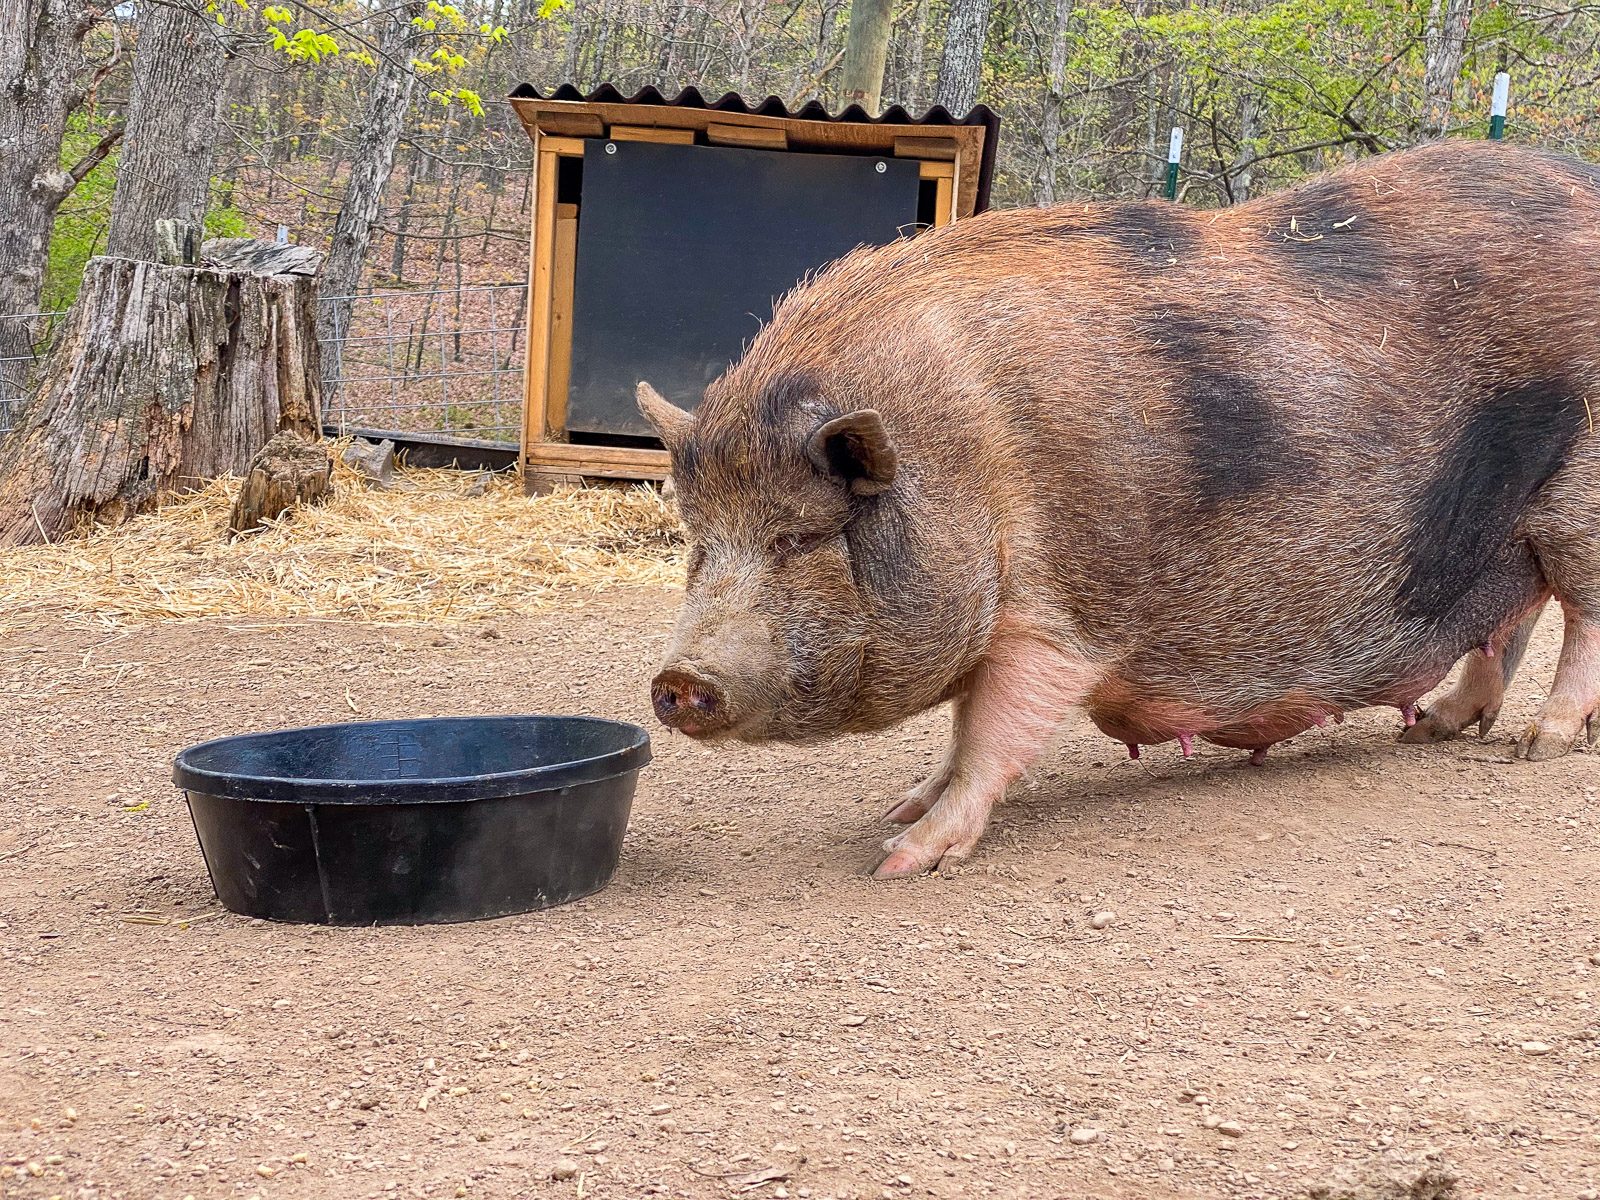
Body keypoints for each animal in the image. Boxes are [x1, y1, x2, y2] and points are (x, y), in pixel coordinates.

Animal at [636, 140, 1600, 878]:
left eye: (800, 535)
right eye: (697, 542)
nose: (677, 680)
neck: (964, 456)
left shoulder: (1060, 618)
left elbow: (992, 730)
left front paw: (901, 858)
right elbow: (959, 727)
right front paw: (901, 805)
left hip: (1577, 494)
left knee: (1579, 613)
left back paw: (1539, 745)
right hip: (1505, 524)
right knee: (1512, 617)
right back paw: (1436, 731)